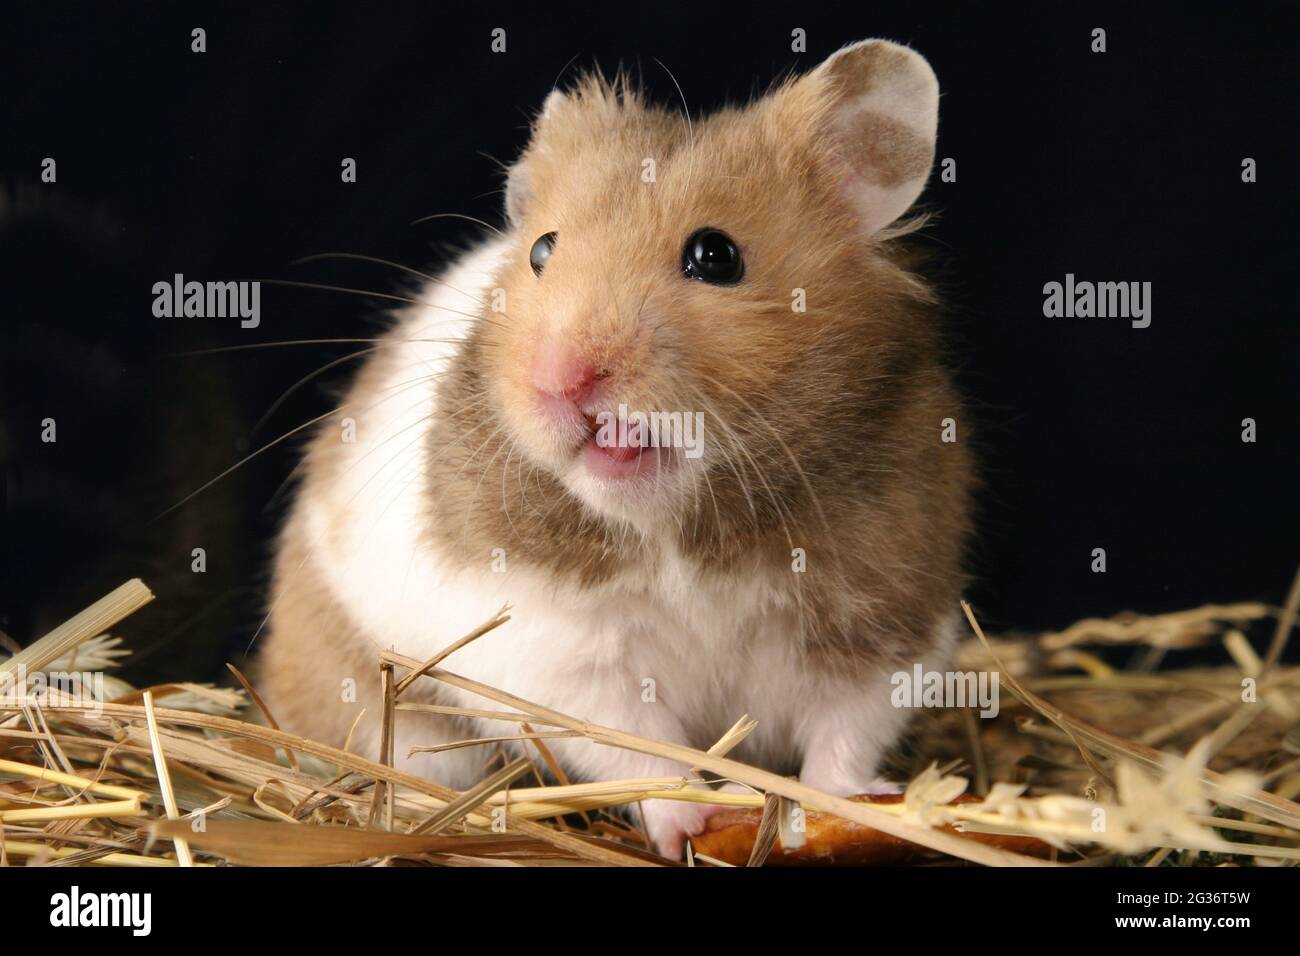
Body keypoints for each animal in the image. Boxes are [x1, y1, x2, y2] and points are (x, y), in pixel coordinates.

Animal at [258, 38, 972, 858]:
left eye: (716, 256)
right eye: (541, 250)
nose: (559, 380)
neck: (685, 527)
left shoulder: (887, 618)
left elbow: (847, 732)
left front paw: (849, 806)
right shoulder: (552, 650)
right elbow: (631, 742)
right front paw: (695, 814)